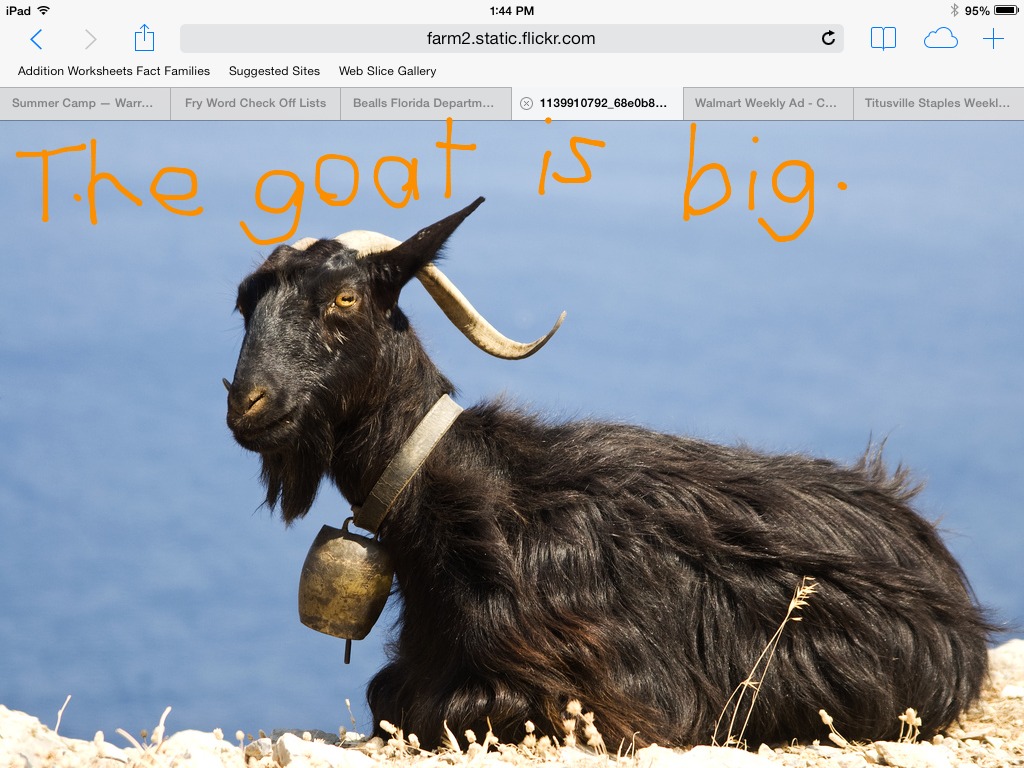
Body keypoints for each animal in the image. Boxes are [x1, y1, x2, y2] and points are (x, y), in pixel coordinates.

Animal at [226, 197, 991, 750]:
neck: (450, 487)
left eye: (345, 299)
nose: (247, 405)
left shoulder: (594, 691)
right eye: (245, 302)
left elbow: (436, 709)